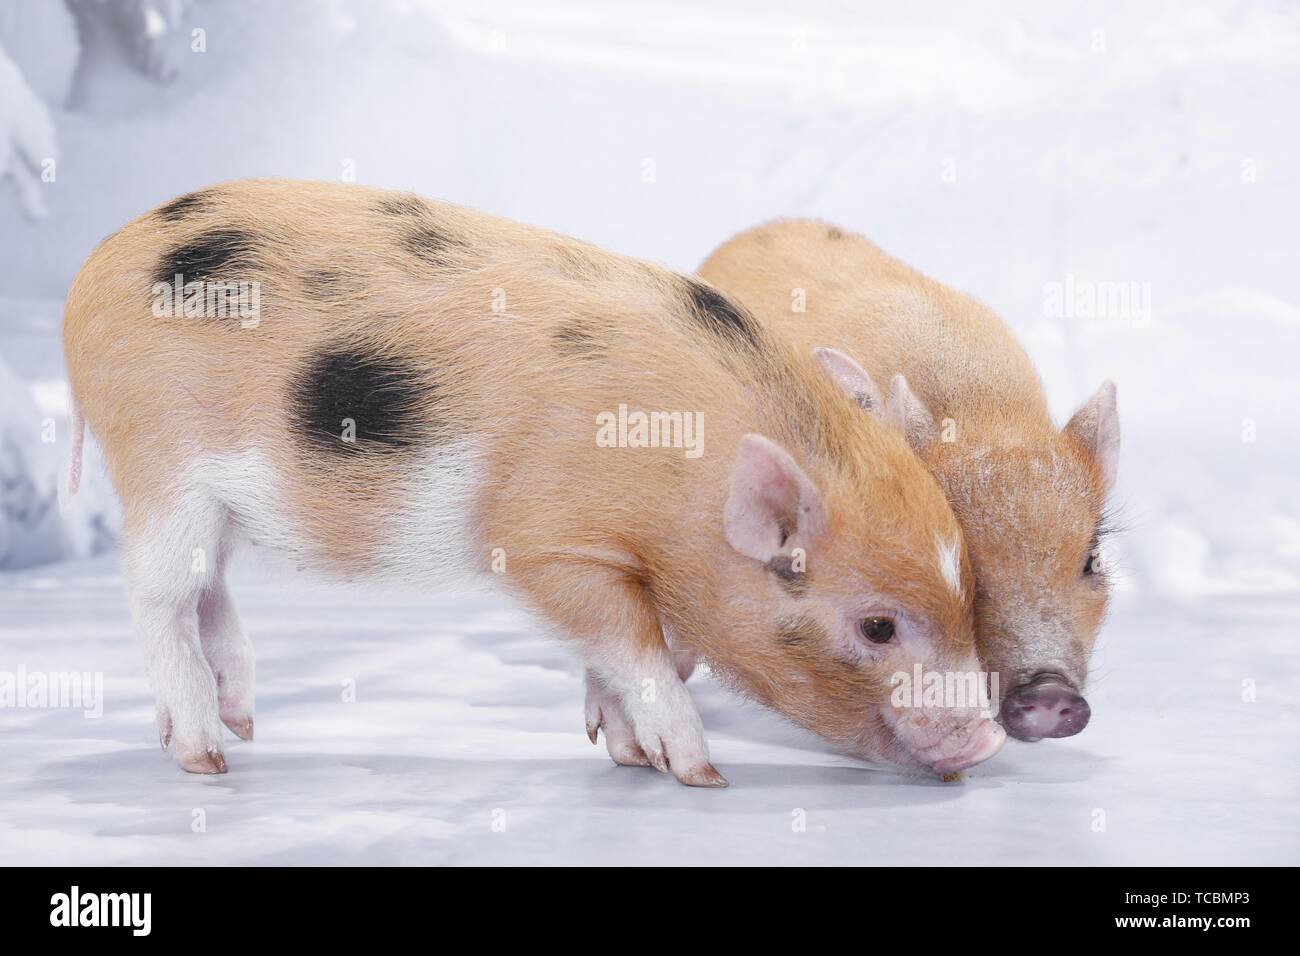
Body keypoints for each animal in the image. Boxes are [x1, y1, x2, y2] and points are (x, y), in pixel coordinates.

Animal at [62, 180, 1005, 785]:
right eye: (877, 626)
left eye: (970, 589)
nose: (991, 741)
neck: (679, 475)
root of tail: (95, 266)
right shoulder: (547, 543)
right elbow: (635, 645)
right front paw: (698, 773)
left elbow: (626, 652)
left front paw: (625, 754)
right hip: (160, 463)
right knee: (157, 599)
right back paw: (205, 757)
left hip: (215, 502)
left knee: (210, 587)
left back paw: (243, 722)